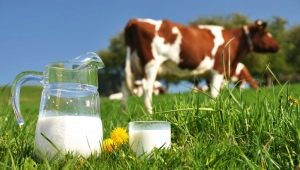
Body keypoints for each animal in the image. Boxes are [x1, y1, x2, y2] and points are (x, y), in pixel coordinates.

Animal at [122, 17, 278, 113]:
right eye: (265, 33)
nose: (278, 46)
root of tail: (134, 20)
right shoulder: (218, 70)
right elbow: (214, 93)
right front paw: (214, 108)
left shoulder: (211, 74)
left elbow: (211, 91)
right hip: (151, 65)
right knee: (147, 89)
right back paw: (150, 113)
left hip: (133, 67)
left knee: (125, 88)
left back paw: (125, 113)